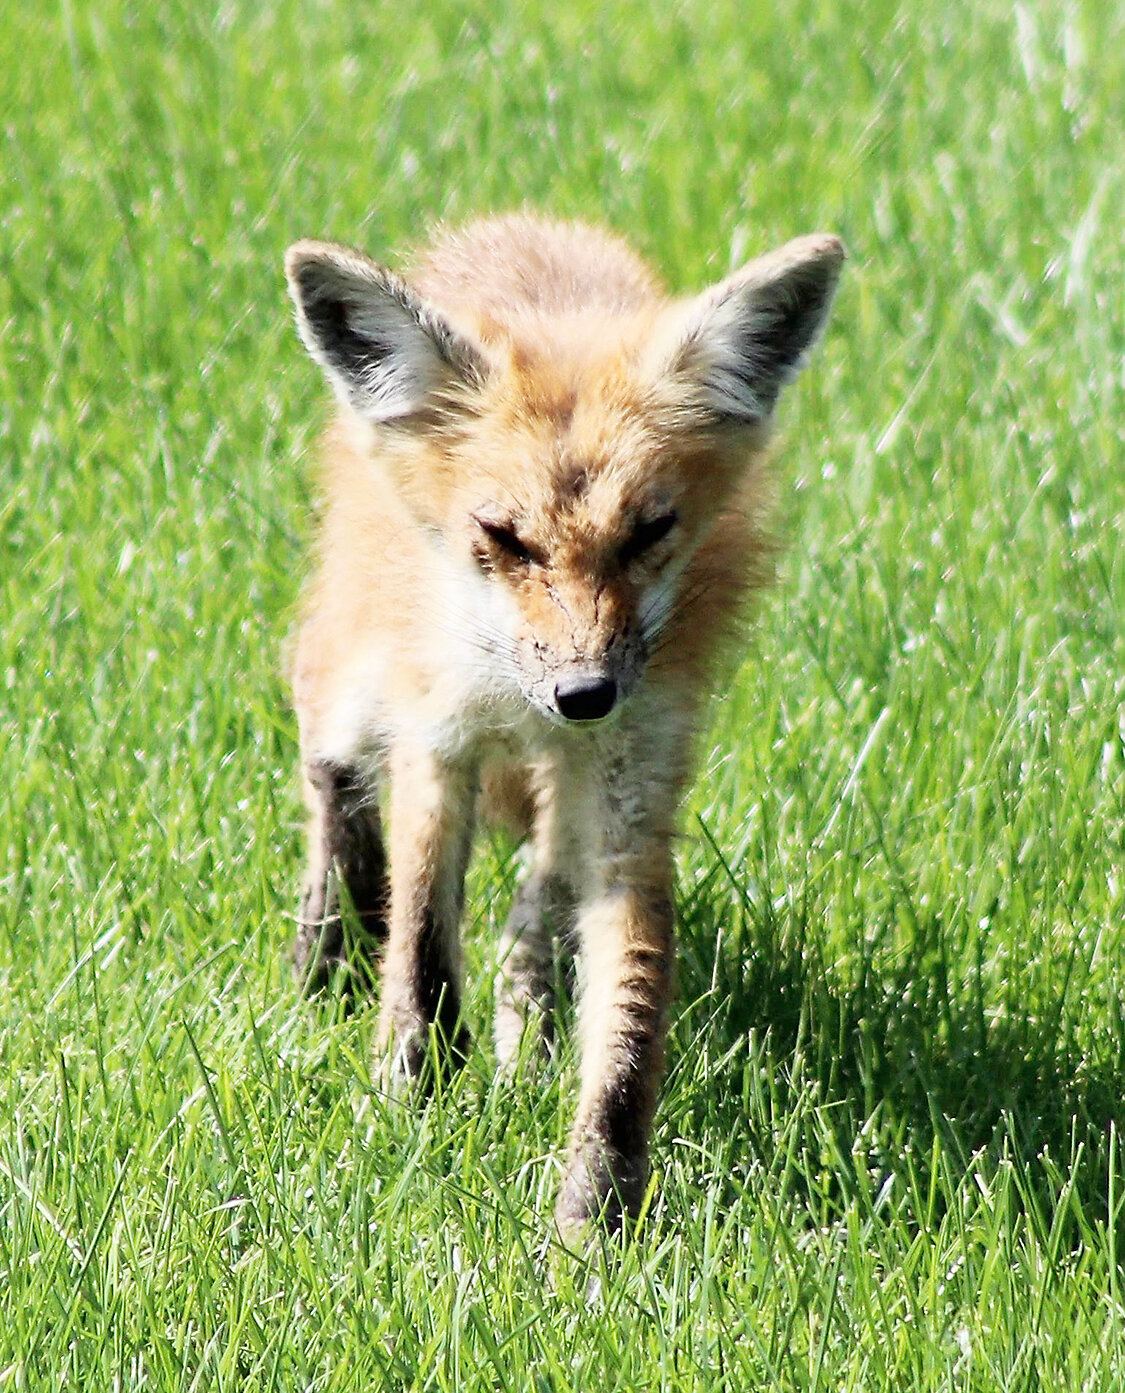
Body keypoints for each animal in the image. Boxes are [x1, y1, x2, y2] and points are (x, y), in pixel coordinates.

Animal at [283, 213, 843, 1231]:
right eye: (505, 537)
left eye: (649, 530)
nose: (583, 694)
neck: (513, 693)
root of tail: (515, 226)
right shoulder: (437, 739)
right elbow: (421, 944)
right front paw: (411, 1098)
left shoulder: (632, 785)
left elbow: (624, 1024)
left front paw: (596, 1216)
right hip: (352, 661)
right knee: (332, 767)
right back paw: (328, 948)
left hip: (567, 796)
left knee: (535, 909)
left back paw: (526, 1036)